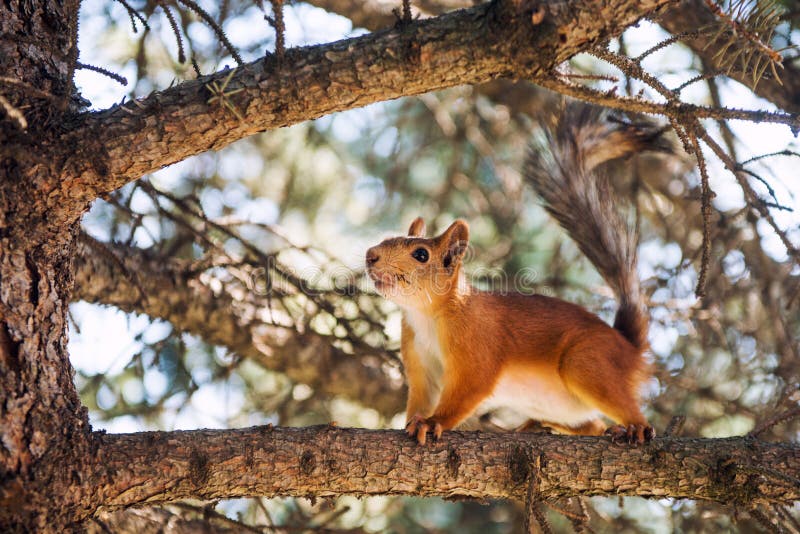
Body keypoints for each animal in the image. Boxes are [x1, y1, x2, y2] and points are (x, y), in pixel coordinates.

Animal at [366, 104, 667, 445]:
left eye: (421, 254)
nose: (370, 255)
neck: (427, 314)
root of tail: (629, 349)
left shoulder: (477, 345)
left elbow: (468, 389)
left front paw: (431, 423)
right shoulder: (420, 363)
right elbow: (420, 398)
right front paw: (409, 422)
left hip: (587, 363)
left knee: (623, 407)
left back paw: (635, 426)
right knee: (592, 425)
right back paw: (541, 426)